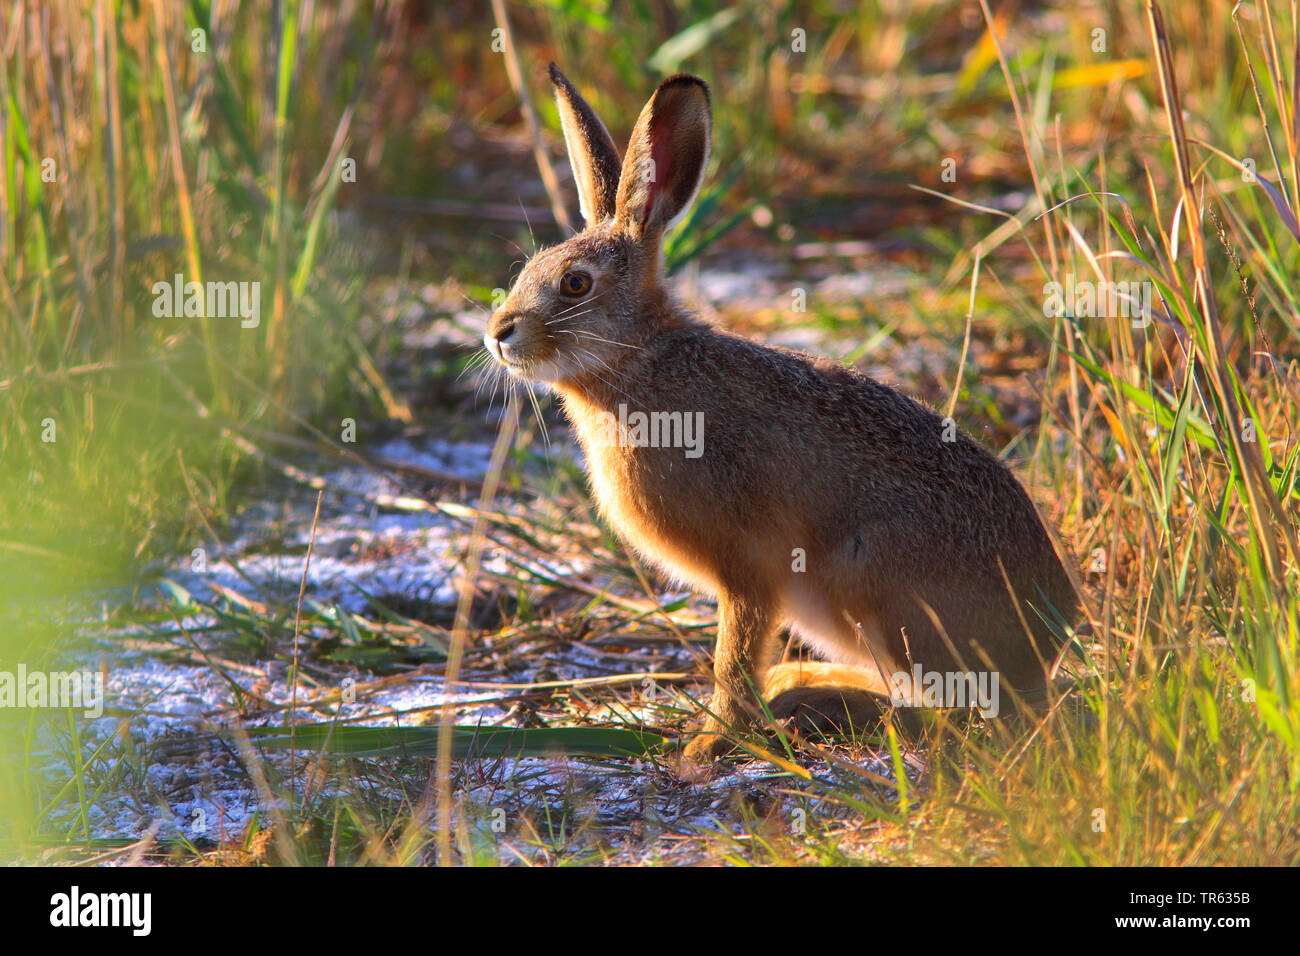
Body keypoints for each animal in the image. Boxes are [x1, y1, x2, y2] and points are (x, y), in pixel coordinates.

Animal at [482, 63, 1080, 764]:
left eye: (575, 283)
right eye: (527, 268)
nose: (499, 332)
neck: (637, 363)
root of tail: (1047, 644)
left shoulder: (750, 566)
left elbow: (733, 658)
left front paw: (707, 746)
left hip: (873, 586)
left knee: (952, 717)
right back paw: (802, 686)